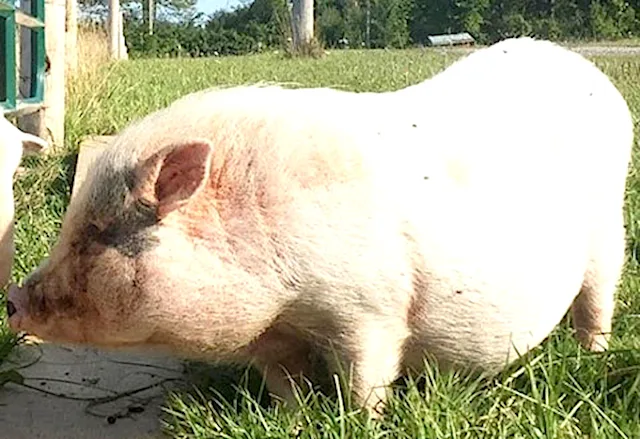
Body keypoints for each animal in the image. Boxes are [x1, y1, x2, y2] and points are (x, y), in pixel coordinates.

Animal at [6, 37, 634, 415]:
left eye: (98, 231)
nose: (11, 297)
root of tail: (589, 72)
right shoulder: (274, 336)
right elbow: (287, 386)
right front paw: (294, 417)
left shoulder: (371, 309)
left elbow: (365, 381)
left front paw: (361, 421)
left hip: (609, 233)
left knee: (597, 300)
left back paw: (591, 356)